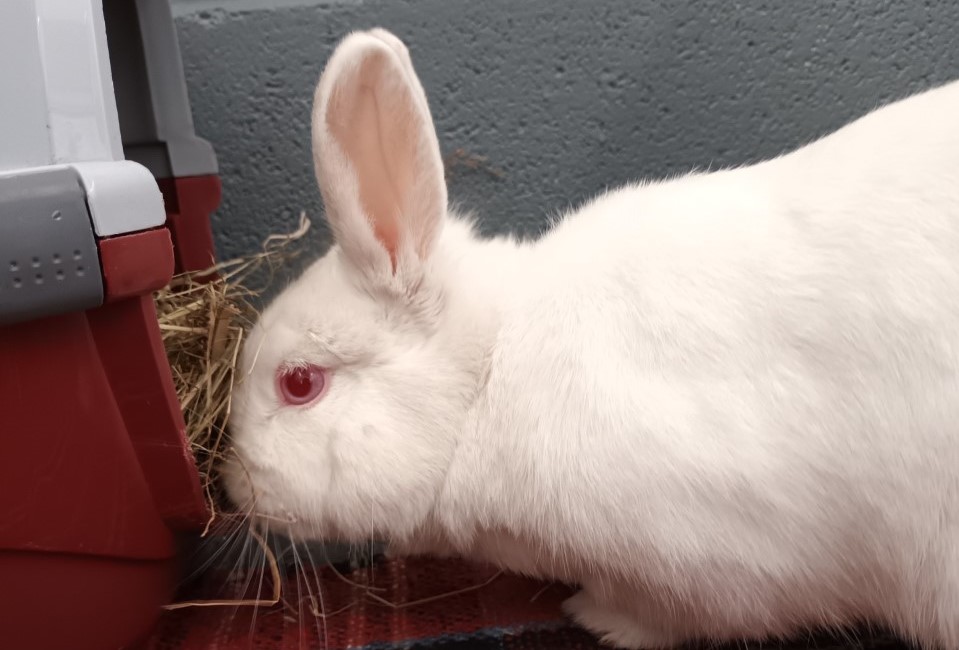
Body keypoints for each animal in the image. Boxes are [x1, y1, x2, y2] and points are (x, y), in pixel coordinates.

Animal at [223, 27, 959, 650]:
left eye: (299, 383)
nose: (232, 487)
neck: (487, 374)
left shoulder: (722, 559)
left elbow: (673, 616)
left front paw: (595, 617)